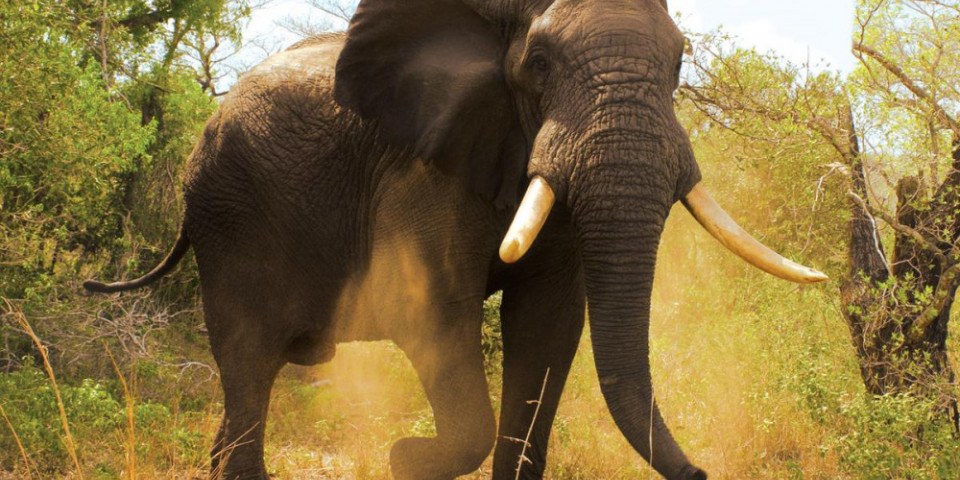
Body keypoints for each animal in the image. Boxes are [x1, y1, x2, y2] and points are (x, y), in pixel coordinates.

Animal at [84, 0, 827, 478]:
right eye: (540, 63)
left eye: (679, 61)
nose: (700, 472)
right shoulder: (422, 170)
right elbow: (436, 313)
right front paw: (404, 458)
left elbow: (549, 329)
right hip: (229, 215)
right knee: (248, 366)